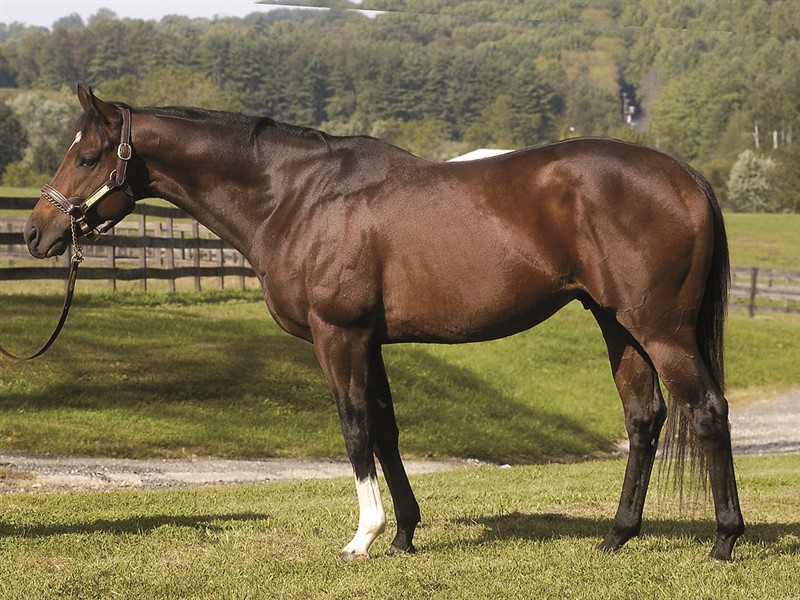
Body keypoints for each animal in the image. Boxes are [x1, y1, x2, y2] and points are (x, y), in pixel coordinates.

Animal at [24, 84, 744, 561]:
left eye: (85, 158)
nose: (36, 233)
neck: (296, 196)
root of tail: (685, 175)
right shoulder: (370, 340)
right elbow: (387, 431)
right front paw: (402, 533)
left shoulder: (337, 335)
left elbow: (353, 428)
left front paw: (362, 537)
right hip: (617, 324)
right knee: (645, 417)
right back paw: (617, 536)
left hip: (660, 328)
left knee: (707, 410)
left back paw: (723, 540)